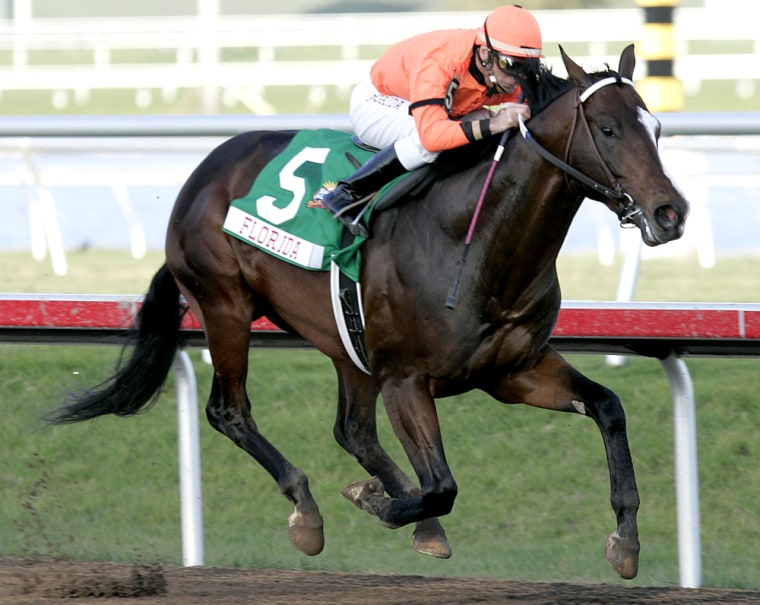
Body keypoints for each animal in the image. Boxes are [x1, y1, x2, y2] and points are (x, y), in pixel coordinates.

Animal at [47, 45, 688, 580]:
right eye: (607, 129)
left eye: (656, 127)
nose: (670, 212)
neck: (475, 240)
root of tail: (205, 170)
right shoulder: (407, 378)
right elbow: (442, 484)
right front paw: (376, 501)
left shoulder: (513, 370)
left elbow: (608, 407)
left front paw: (626, 541)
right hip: (224, 304)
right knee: (230, 411)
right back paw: (307, 511)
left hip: (344, 341)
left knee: (352, 429)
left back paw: (415, 523)